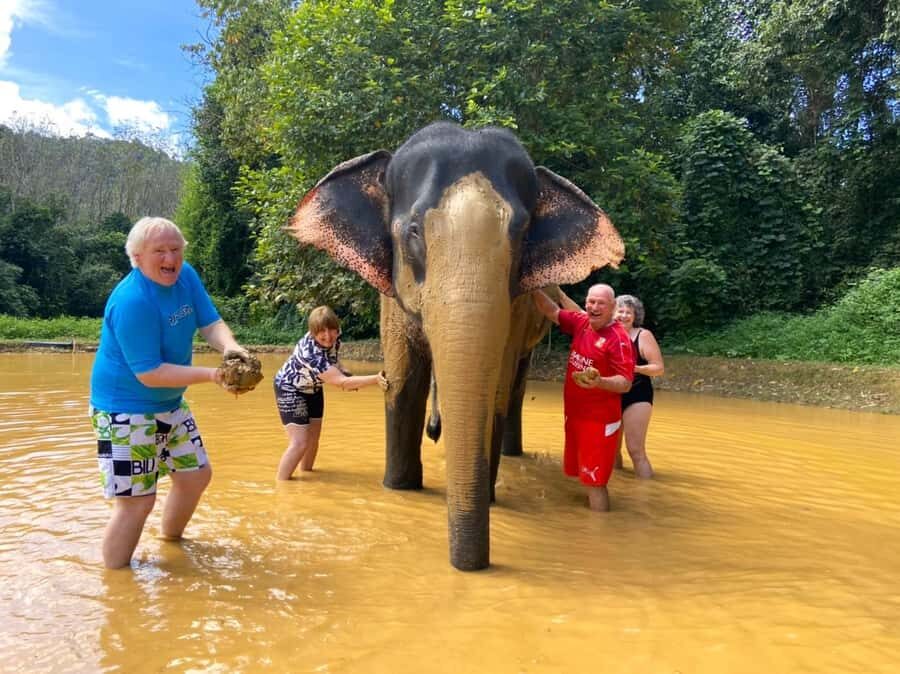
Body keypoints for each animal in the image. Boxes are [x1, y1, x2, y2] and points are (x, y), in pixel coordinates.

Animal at [288, 121, 624, 571]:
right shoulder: (391, 300)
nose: (472, 566)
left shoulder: (515, 307)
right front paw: (398, 488)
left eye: (521, 233)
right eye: (413, 231)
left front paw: (489, 499)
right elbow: (405, 386)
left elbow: (494, 392)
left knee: (515, 387)